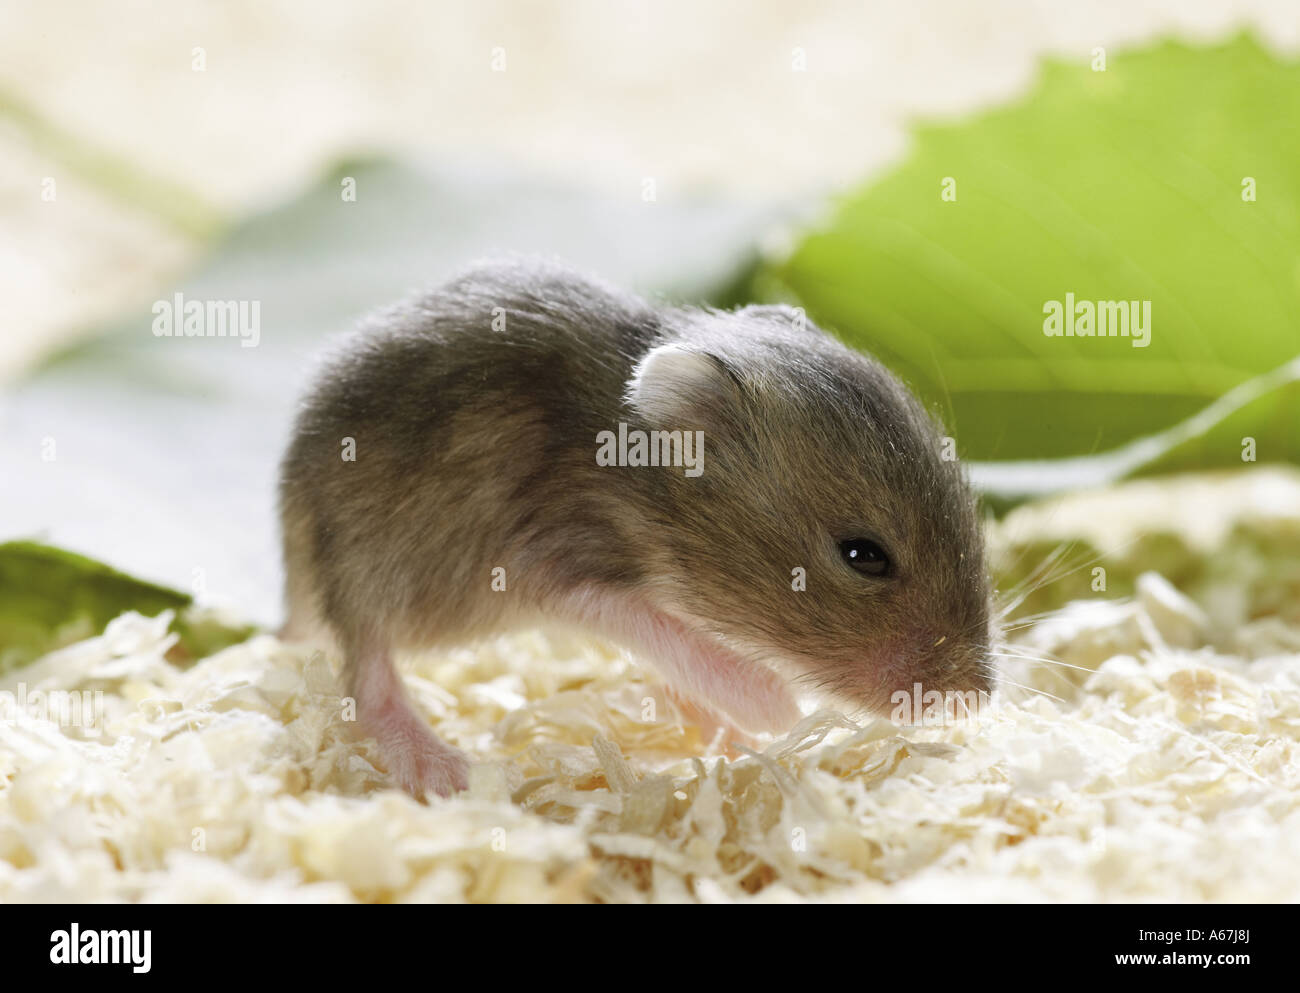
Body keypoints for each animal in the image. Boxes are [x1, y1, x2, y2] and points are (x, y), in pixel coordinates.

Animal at [279, 257, 992, 798]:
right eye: (862, 554)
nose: (975, 702)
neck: (638, 479)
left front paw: (751, 727)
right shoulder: (550, 561)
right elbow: (654, 620)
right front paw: (775, 708)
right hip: (366, 573)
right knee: (368, 680)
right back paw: (440, 770)